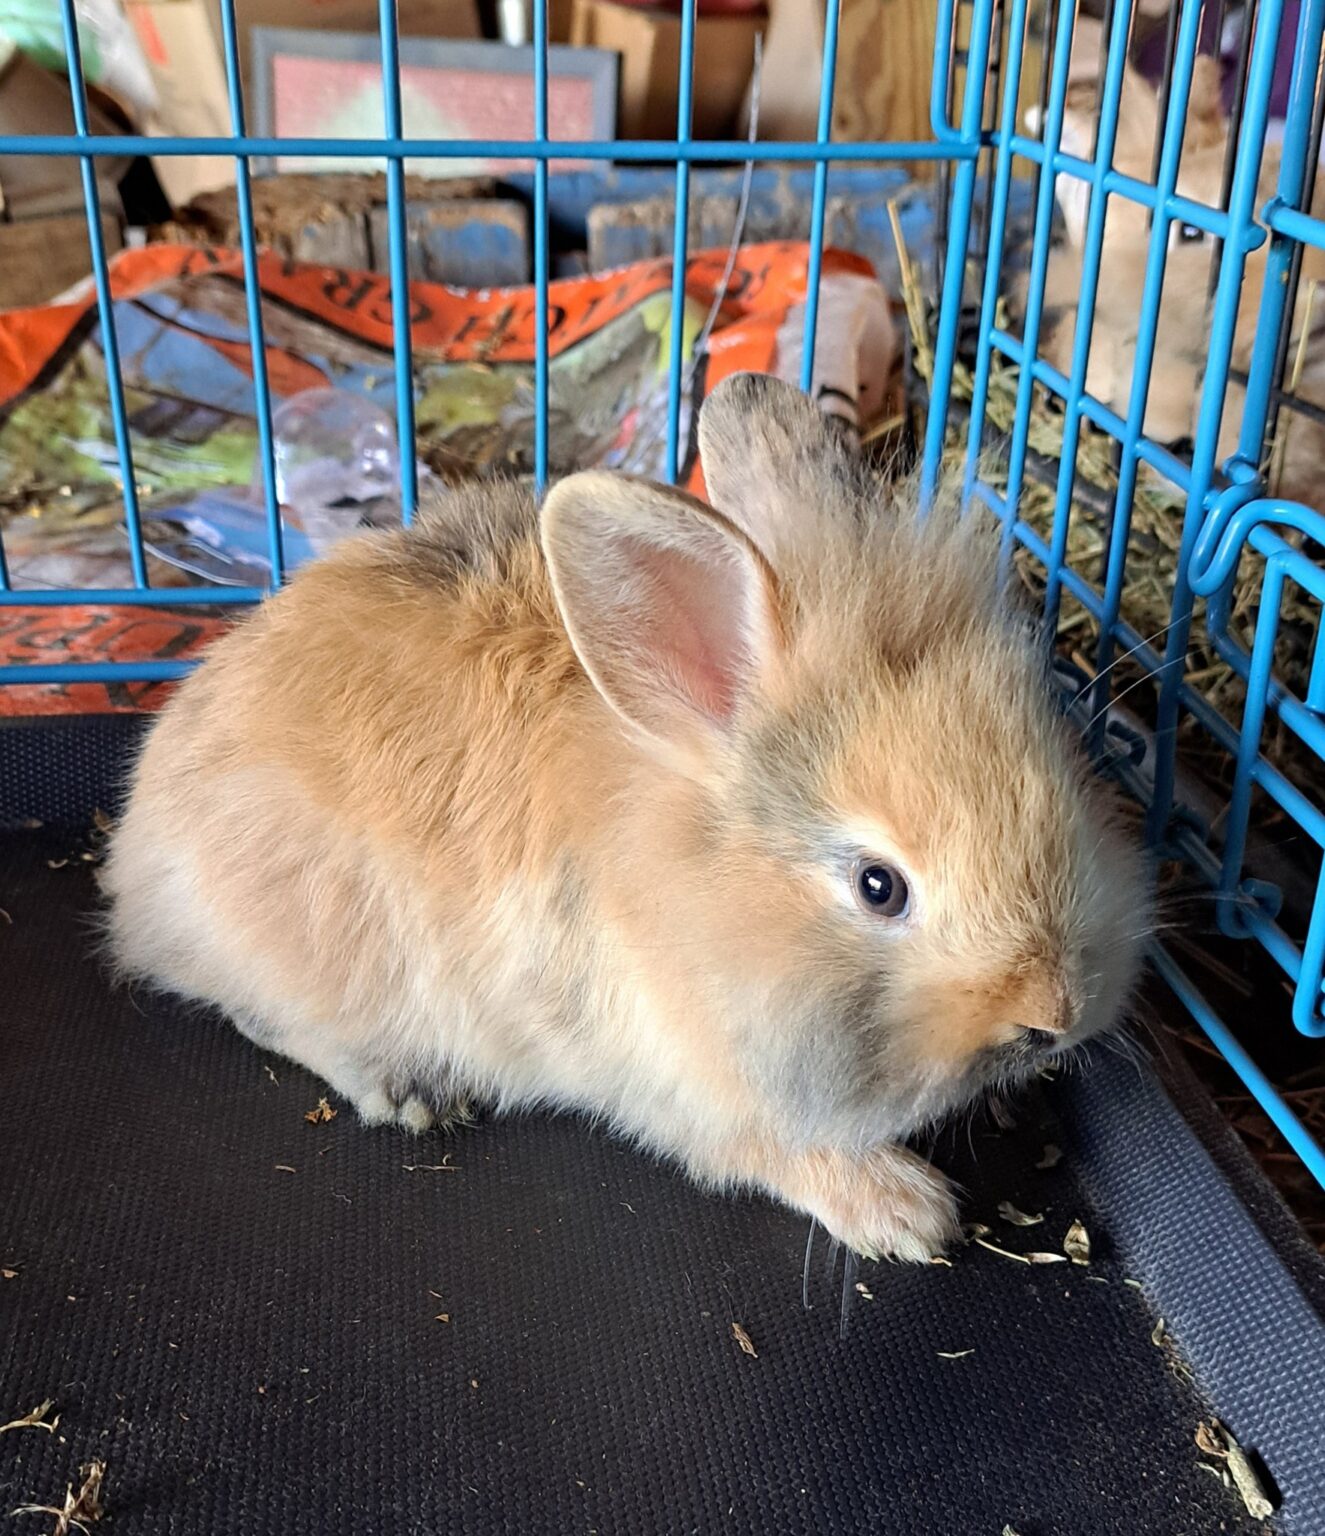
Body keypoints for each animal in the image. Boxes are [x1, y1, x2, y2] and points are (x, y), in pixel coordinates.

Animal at [101, 373, 1149, 1260]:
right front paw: (906, 1211)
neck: (691, 886)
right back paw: (408, 1089)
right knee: (265, 1017)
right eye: (877, 887)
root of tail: (133, 865)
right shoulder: (688, 1091)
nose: (1055, 1016)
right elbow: (778, 1153)